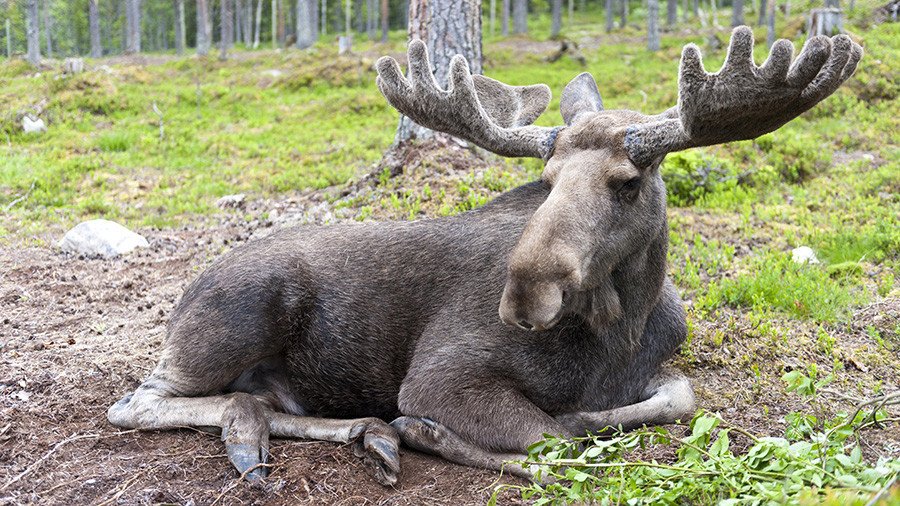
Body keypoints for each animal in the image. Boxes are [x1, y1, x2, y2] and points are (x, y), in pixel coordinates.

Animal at [107, 27, 862, 485]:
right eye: (546, 180)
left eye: (627, 182)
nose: (525, 293)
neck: (620, 330)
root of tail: (187, 294)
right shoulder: (439, 377)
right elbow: (552, 444)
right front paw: (424, 431)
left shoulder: (660, 375)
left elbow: (673, 396)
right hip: (235, 320)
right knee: (135, 403)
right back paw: (352, 430)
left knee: (248, 400)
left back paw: (339, 428)